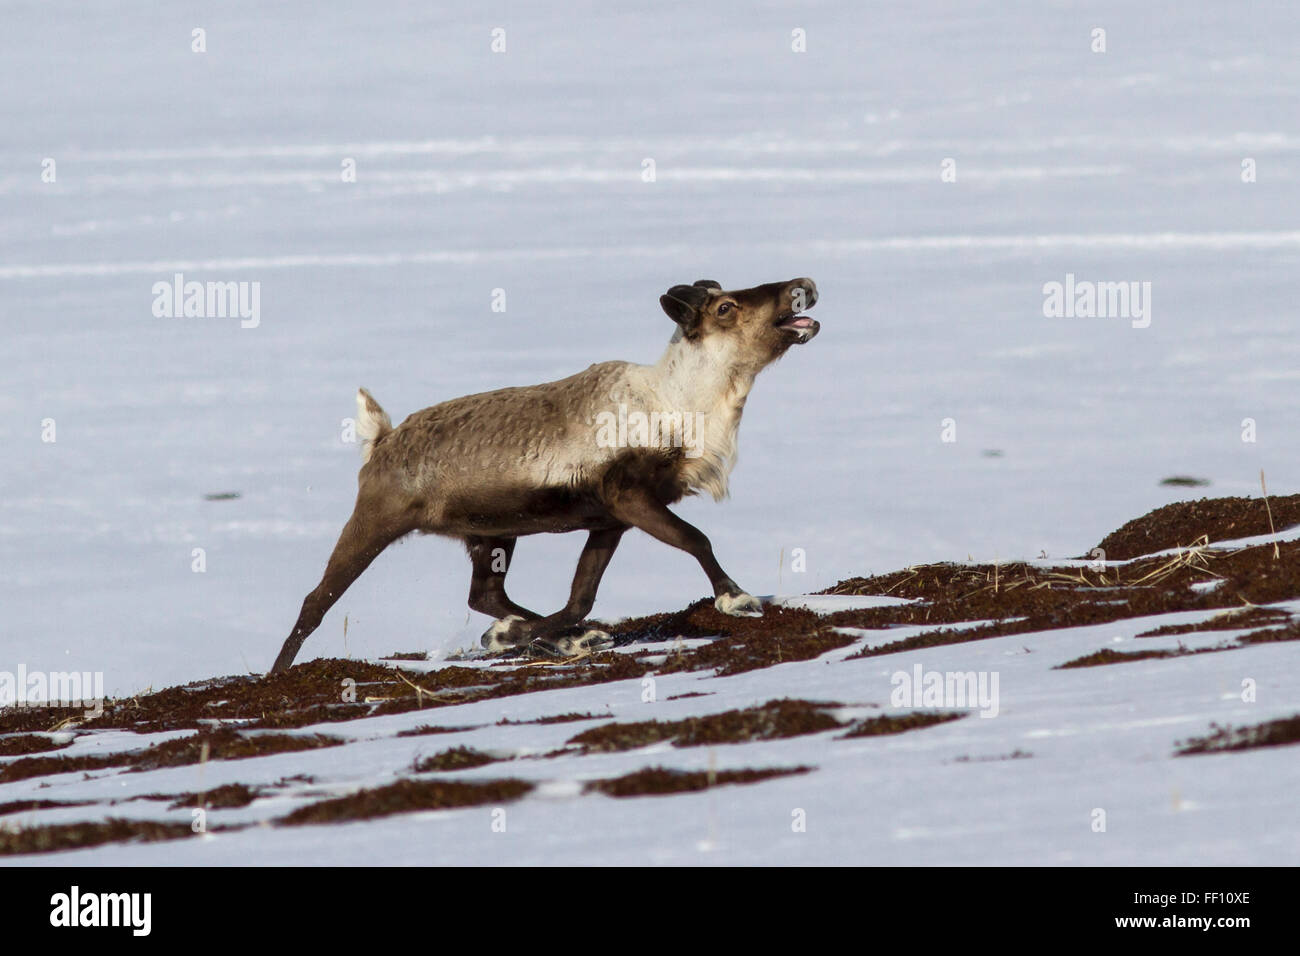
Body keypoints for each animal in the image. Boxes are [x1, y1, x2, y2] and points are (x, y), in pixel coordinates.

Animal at [271, 277, 819, 672]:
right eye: (724, 307)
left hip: (493, 533)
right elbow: (696, 539)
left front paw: (542, 636)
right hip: (376, 521)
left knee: (484, 594)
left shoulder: (610, 520)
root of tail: (380, 440)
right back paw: (276, 673)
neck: (683, 408)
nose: (805, 284)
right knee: (315, 601)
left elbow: (580, 597)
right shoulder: (628, 497)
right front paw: (737, 598)